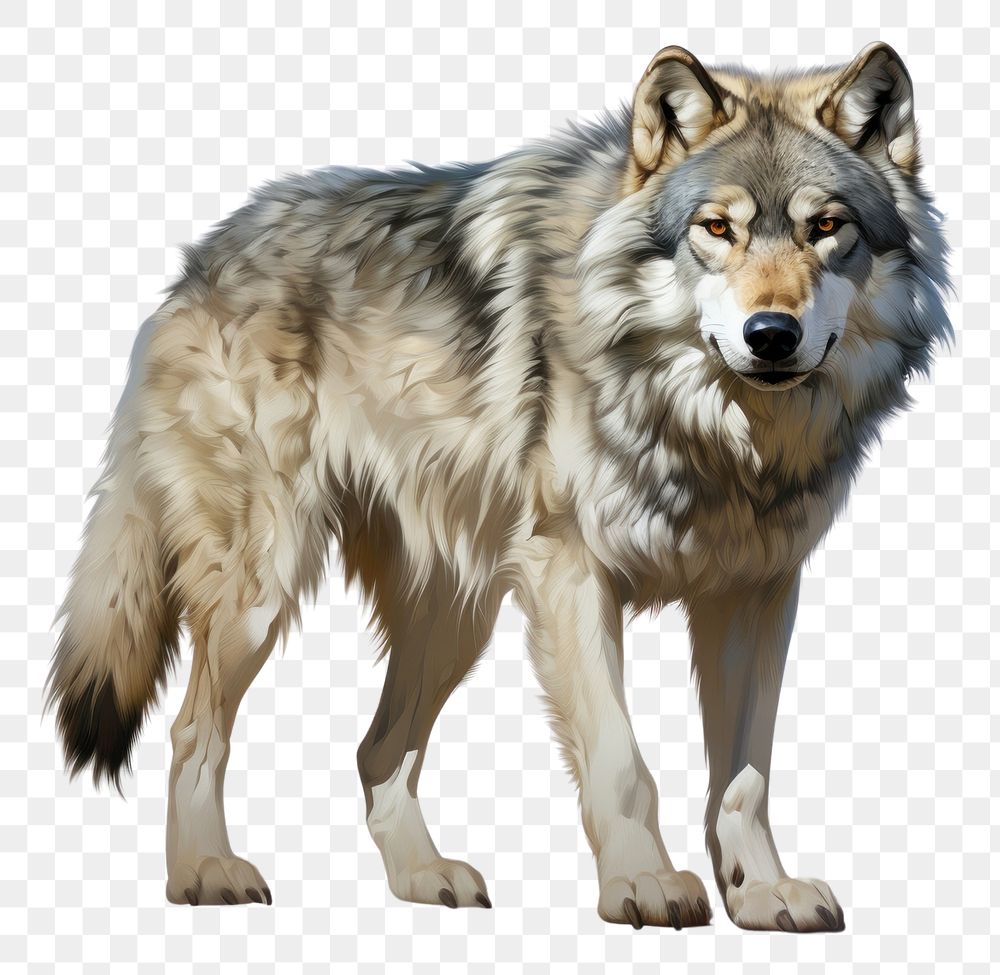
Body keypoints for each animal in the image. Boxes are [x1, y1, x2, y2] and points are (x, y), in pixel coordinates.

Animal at [46, 42, 950, 931]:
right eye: (716, 229)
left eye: (825, 228)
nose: (771, 335)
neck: (720, 435)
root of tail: (202, 257)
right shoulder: (572, 573)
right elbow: (623, 761)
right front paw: (645, 884)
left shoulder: (757, 593)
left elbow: (745, 776)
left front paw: (762, 892)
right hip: (261, 591)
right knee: (192, 730)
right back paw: (205, 872)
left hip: (455, 614)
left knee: (376, 748)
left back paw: (423, 877)